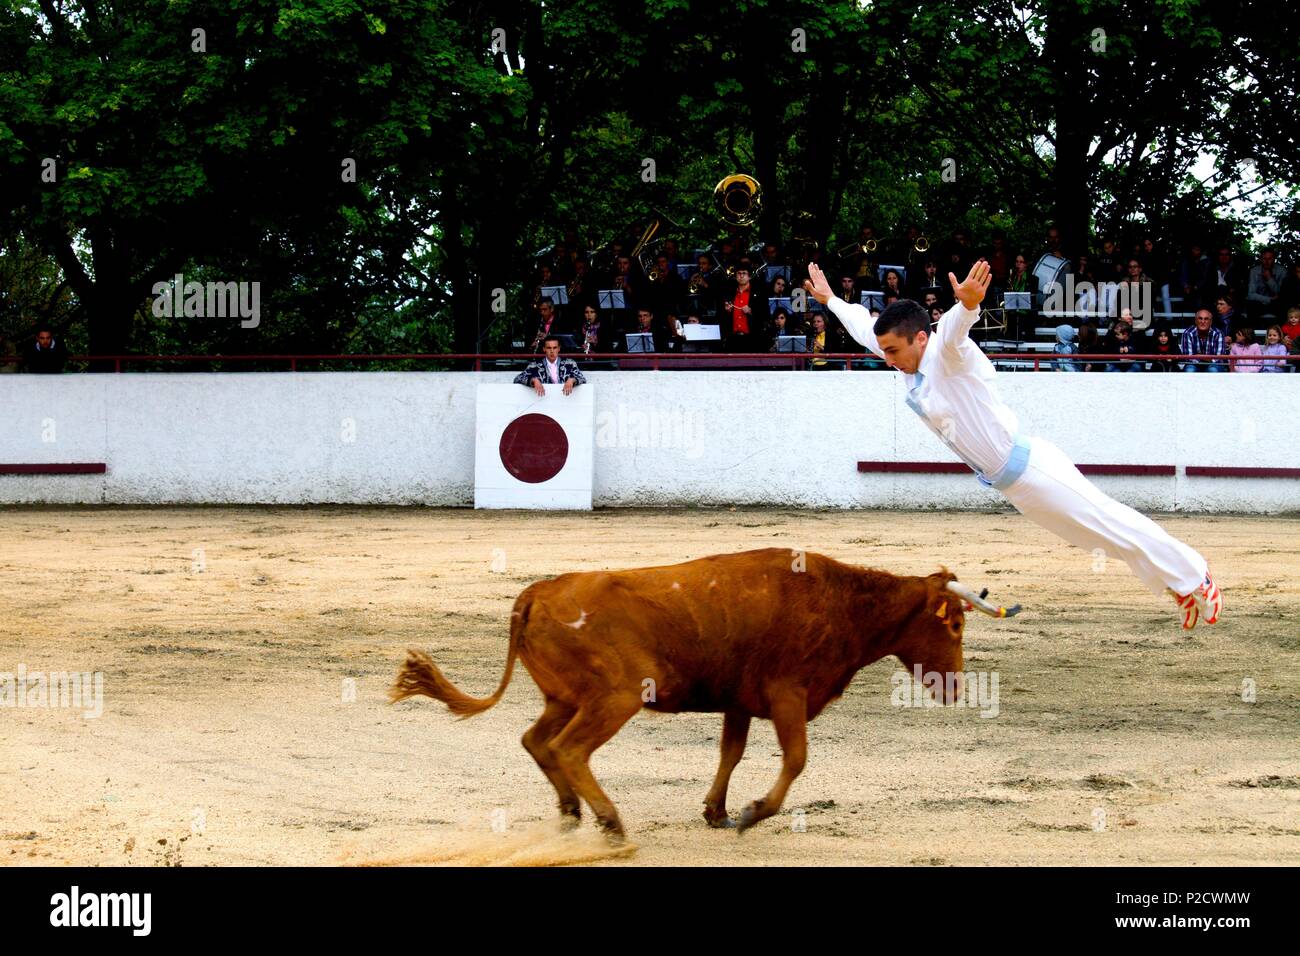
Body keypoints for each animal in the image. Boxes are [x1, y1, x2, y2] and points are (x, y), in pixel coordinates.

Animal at [390, 547, 1020, 841]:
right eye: (954, 626)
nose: (955, 686)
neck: (840, 602)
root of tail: (537, 592)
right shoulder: (788, 695)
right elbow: (796, 758)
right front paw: (752, 813)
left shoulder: (738, 702)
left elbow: (731, 753)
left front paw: (716, 810)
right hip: (613, 699)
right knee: (567, 749)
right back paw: (610, 823)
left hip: (563, 698)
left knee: (537, 742)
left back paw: (572, 813)